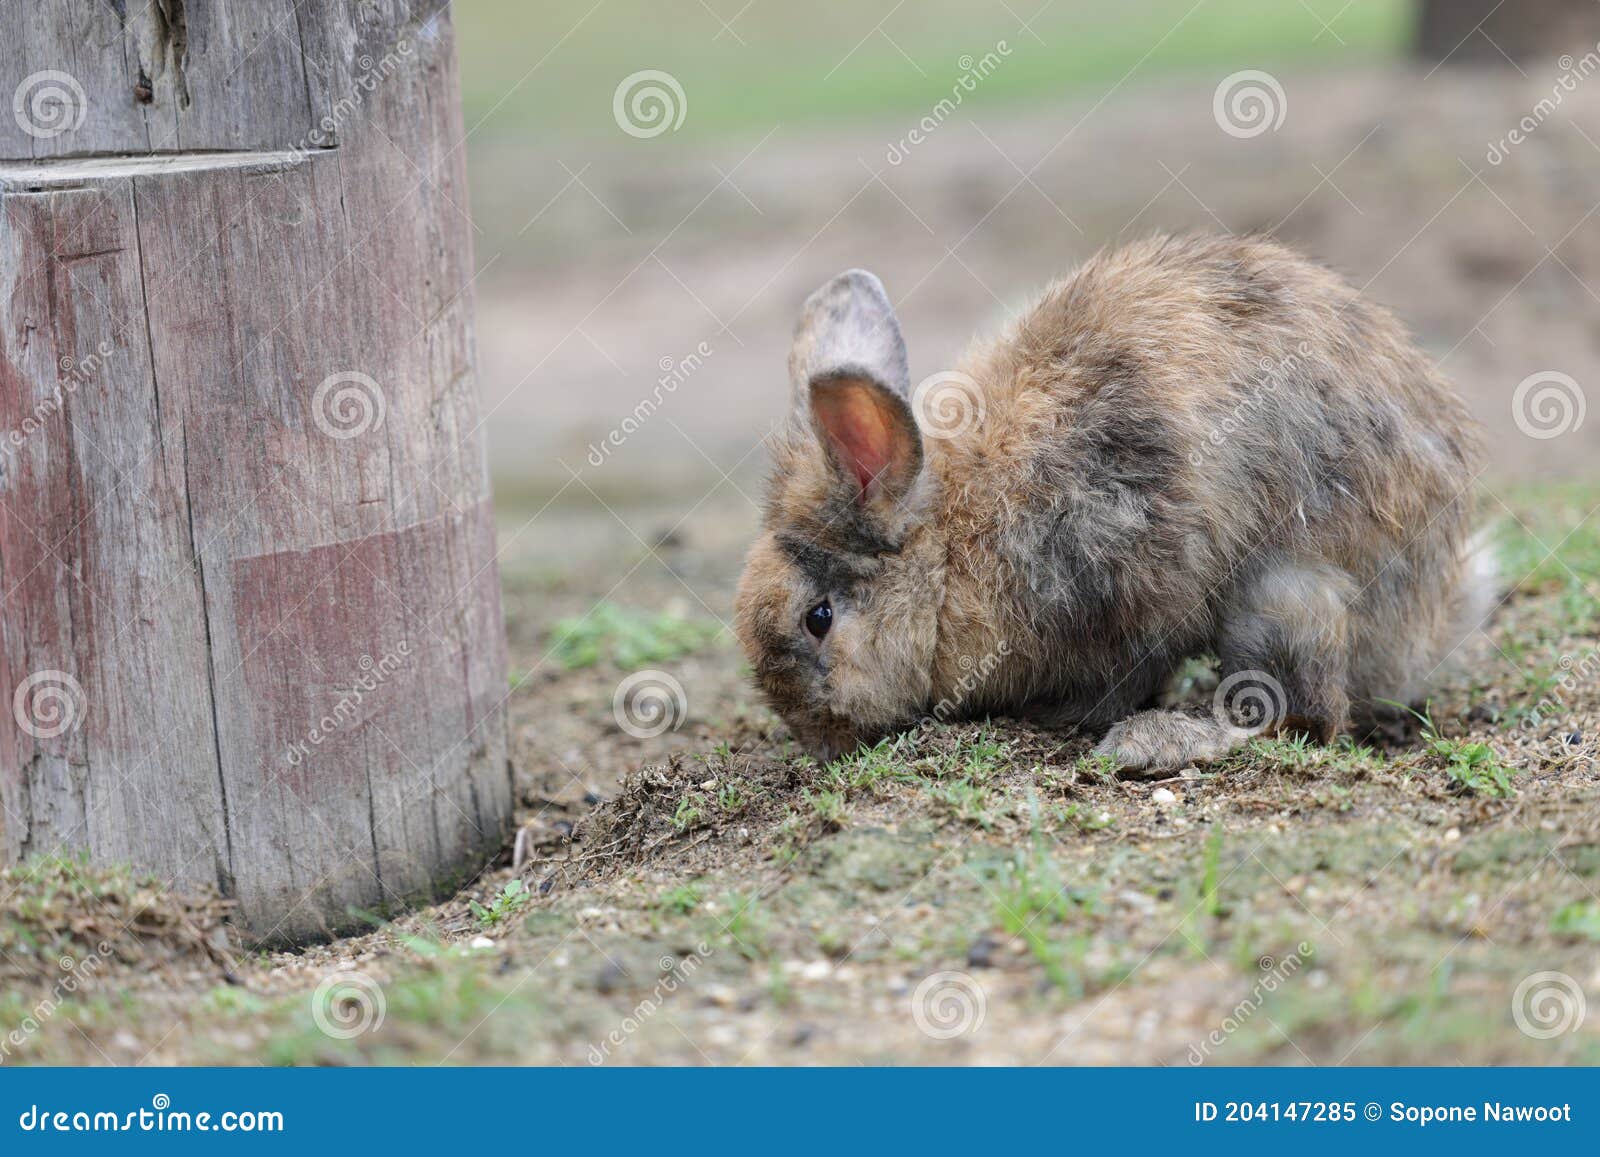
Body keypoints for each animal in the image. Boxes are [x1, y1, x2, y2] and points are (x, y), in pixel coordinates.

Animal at [734, 233, 1492, 770]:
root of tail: (1424, 625)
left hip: (1282, 593)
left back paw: (1157, 742)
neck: (951, 545)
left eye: (818, 618)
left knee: (1297, 712)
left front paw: (1064, 718)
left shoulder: (1124, 580)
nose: (820, 742)